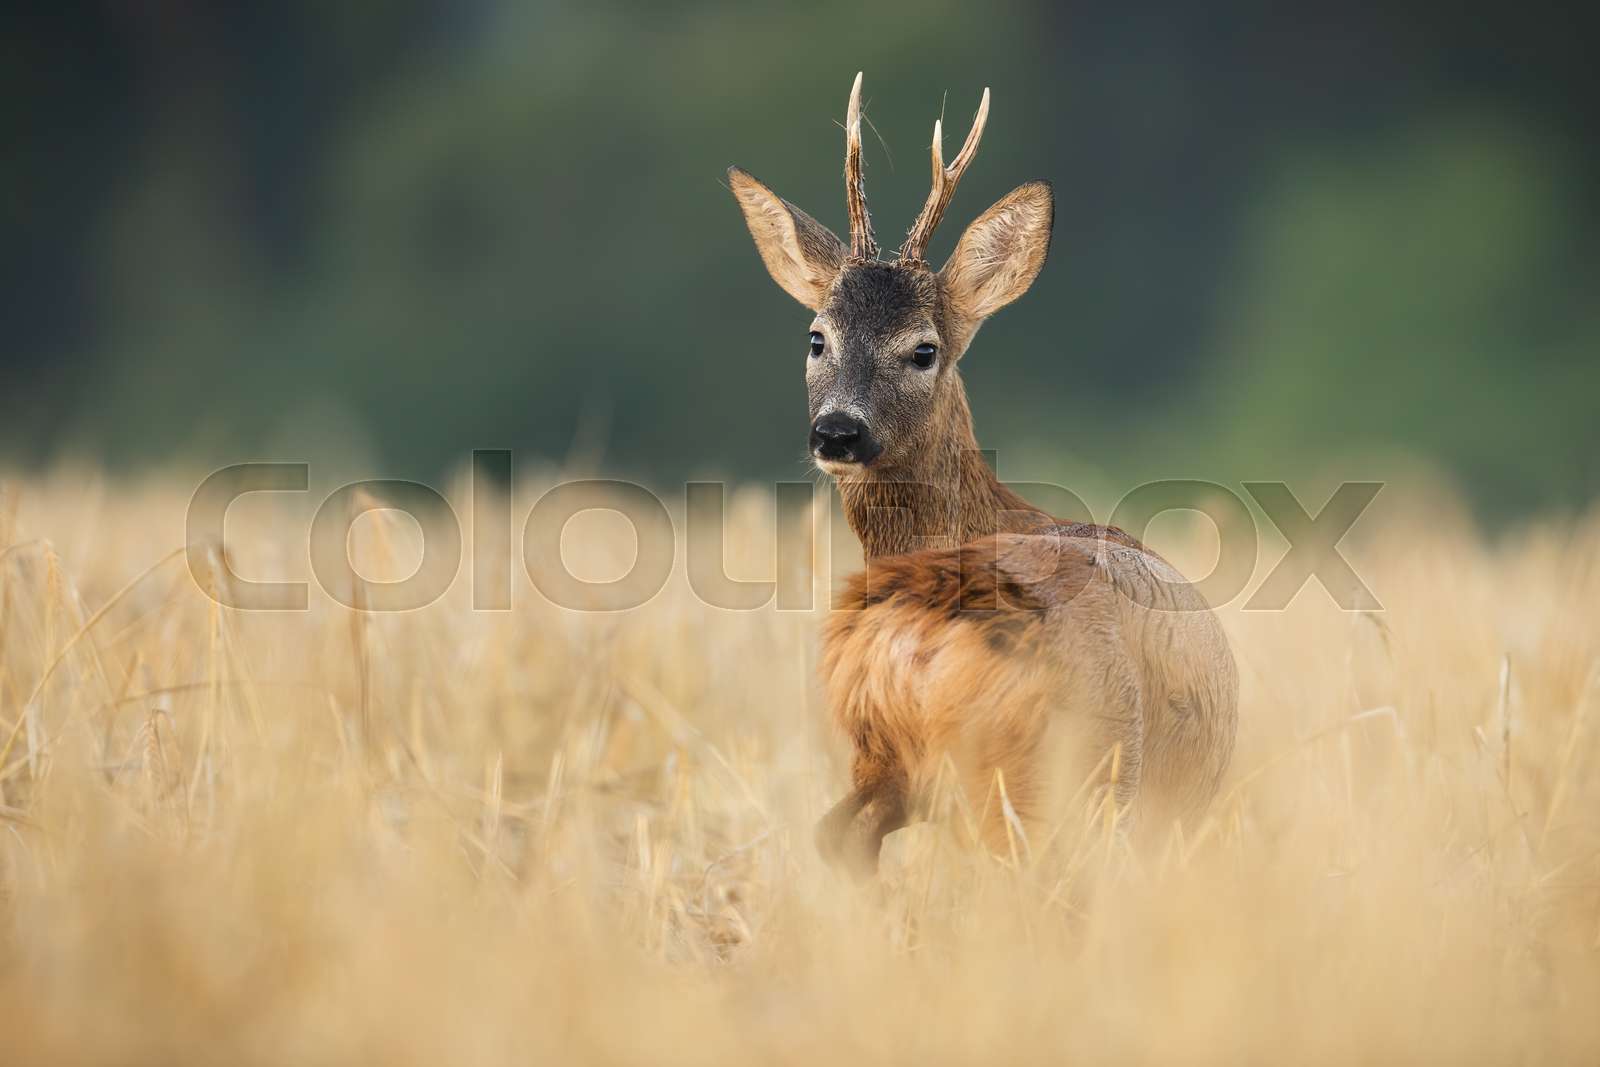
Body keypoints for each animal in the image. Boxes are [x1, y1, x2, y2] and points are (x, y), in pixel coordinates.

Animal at [729, 74, 1238, 879]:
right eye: (817, 337)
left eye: (924, 349)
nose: (837, 430)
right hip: (1075, 770)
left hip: (903, 757)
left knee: (844, 840)